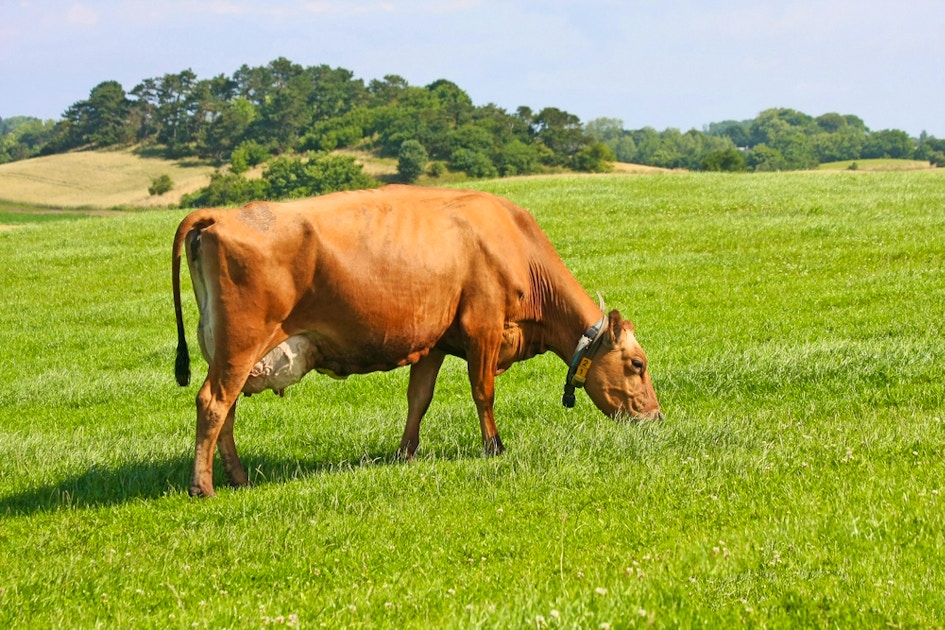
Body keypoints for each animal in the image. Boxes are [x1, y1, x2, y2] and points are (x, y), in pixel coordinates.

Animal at [172, 185, 661, 497]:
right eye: (637, 364)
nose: (655, 417)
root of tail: (222, 214)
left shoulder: (436, 342)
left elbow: (418, 399)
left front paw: (405, 454)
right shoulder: (483, 328)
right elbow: (483, 392)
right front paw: (494, 447)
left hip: (227, 350)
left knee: (226, 411)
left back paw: (238, 479)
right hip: (241, 343)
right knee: (213, 403)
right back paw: (204, 487)